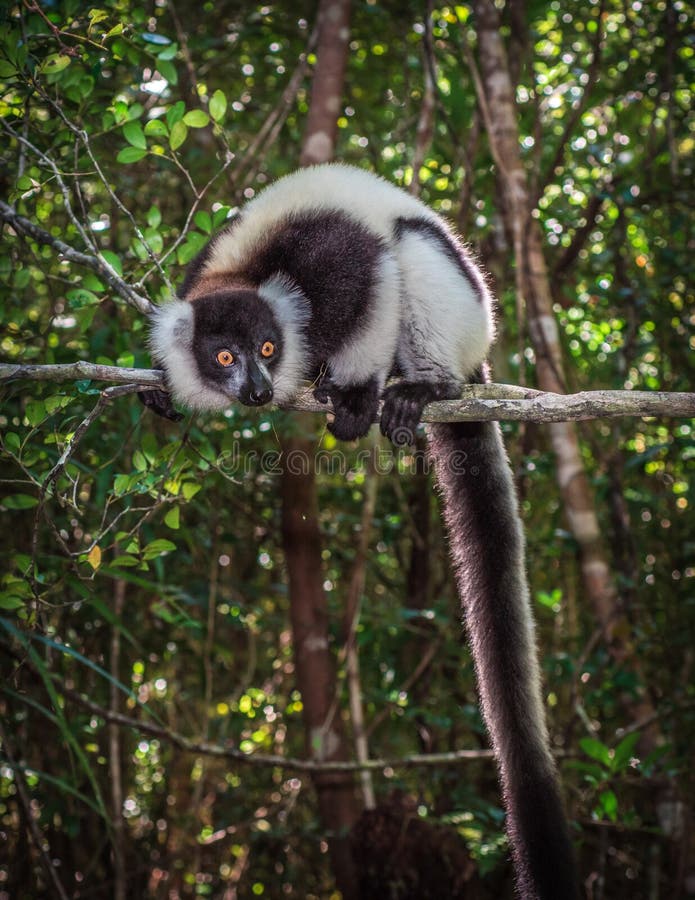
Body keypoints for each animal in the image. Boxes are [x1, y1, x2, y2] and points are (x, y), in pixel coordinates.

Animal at [142, 163, 580, 900]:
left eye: (266, 348)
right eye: (223, 357)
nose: (259, 390)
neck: (245, 268)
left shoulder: (331, 262)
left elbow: (372, 277)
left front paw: (352, 394)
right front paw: (158, 388)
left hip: (468, 320)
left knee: (409, 245)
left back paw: (423, 388)